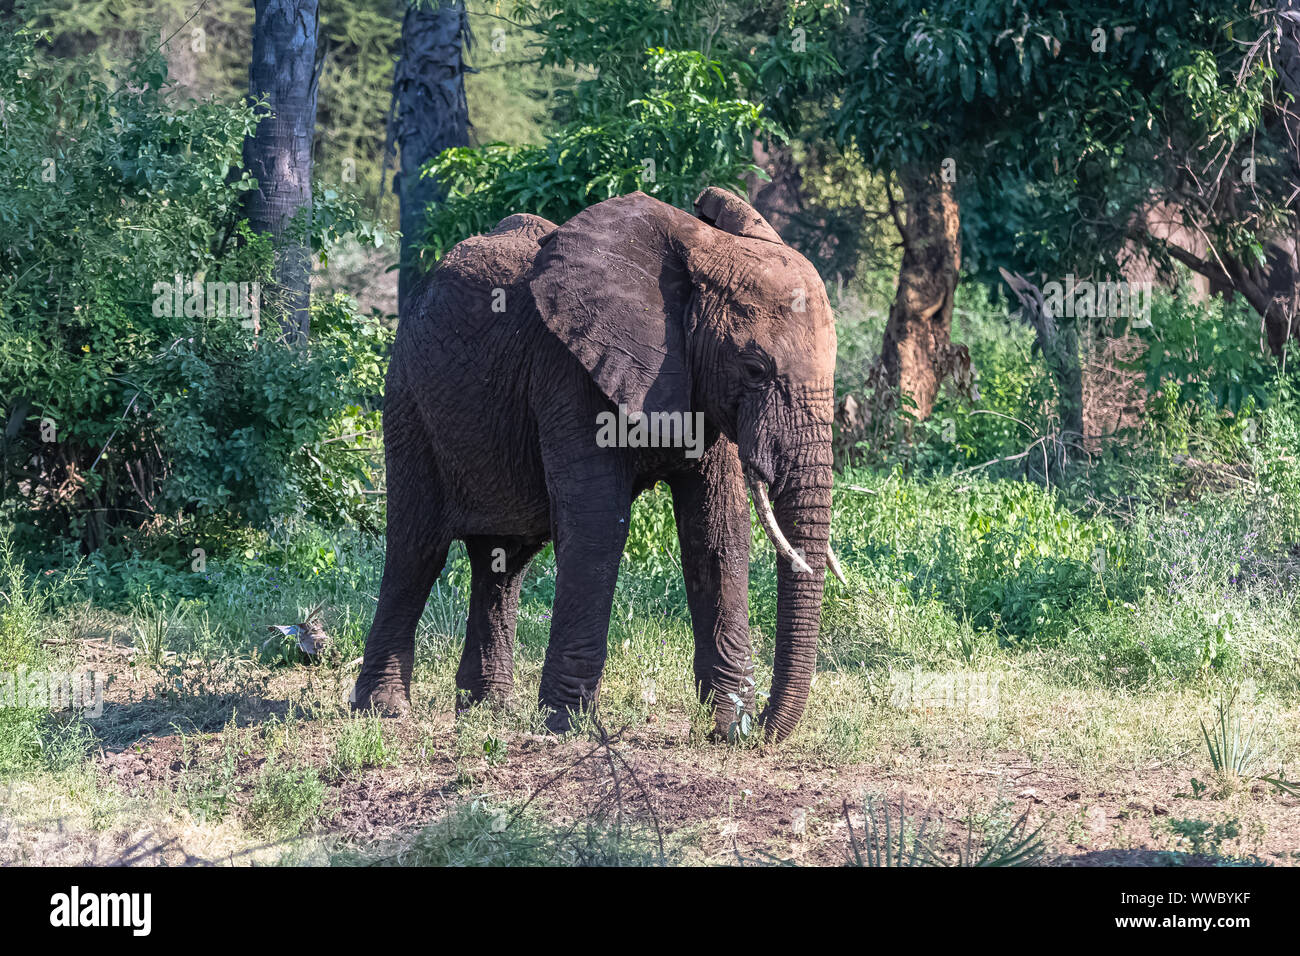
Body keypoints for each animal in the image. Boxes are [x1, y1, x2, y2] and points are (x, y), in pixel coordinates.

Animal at [353, 187, 840, 742]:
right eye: (755, 369)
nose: (758, 728)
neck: (702, 251)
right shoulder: (569, 370)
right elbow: (598, 527)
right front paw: (568, 727)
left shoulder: (698, 386)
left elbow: (717, 530)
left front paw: (725, 723)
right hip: (408, 399)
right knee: (417, 548)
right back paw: (385, 711)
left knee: (504, 561)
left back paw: (486, 712)